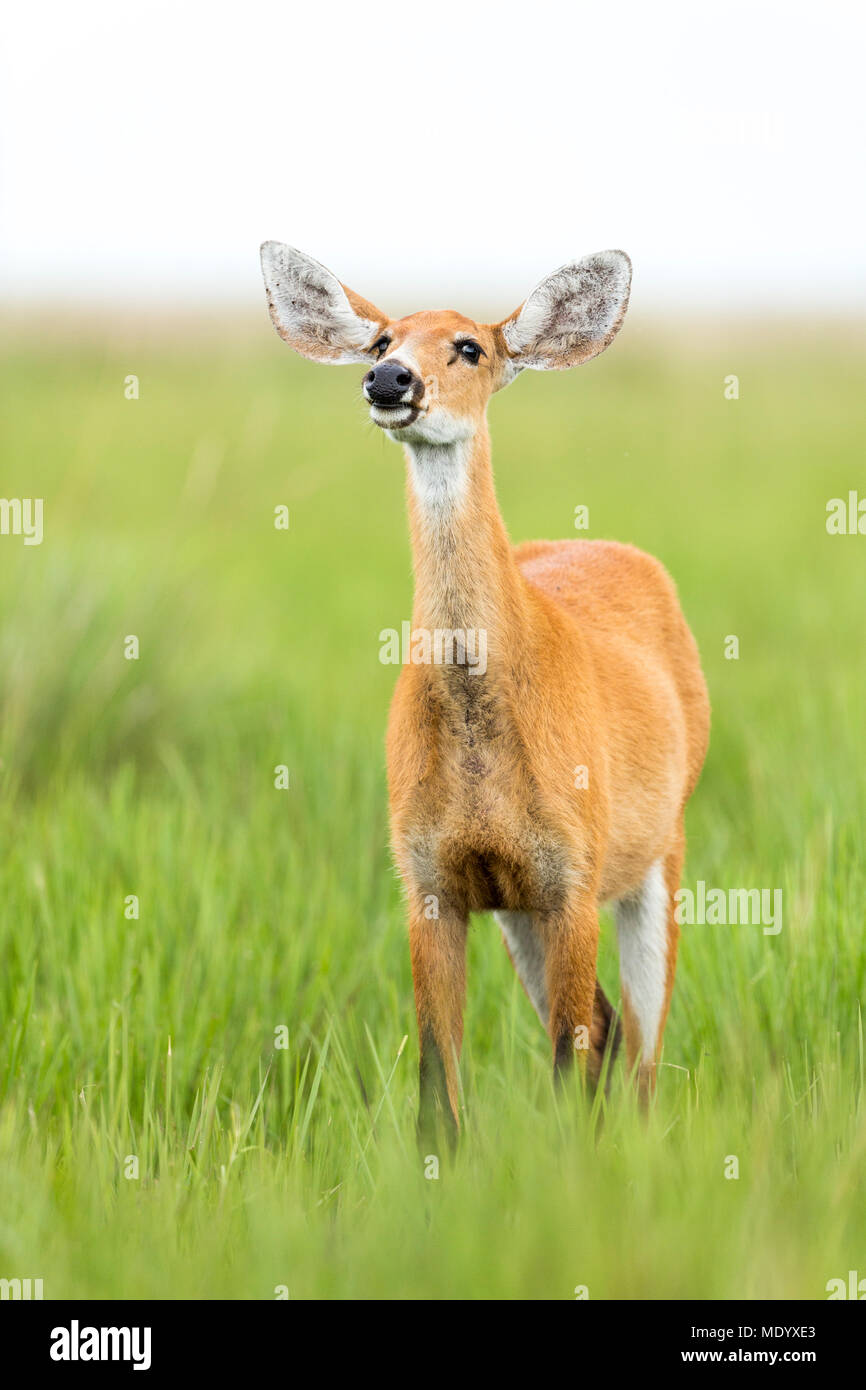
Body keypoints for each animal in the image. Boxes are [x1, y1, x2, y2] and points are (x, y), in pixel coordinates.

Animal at [260, 241, 710, 1144]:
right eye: (381, 338)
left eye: (469, 346)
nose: (389, 379)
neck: (480, 747)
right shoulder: (432, 879)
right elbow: (439, 1087)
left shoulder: (570, 878)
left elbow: (567, 1067)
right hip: (520, 912)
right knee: (611, 1031)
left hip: (656, 854)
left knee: (641, 1050)